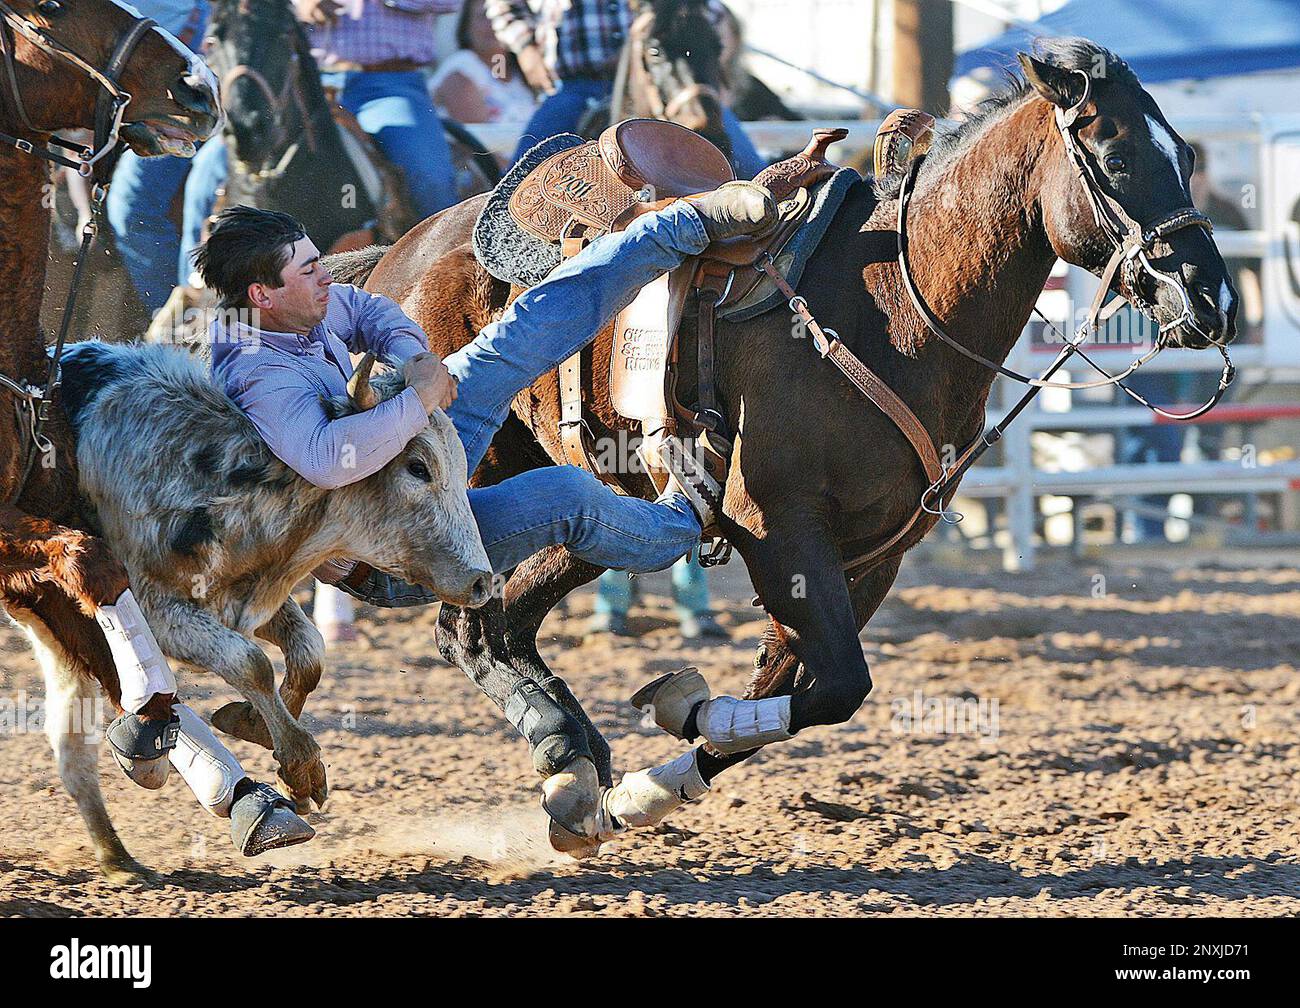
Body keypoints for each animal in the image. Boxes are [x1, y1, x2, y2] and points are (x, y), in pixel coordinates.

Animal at [276, 38, 1237, 854]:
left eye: (1186, 155)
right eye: (1118, 155)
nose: (1214, 299)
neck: (898, 303)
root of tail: (397, 252)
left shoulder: (870, 555)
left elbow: (797, 686)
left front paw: (655, 775)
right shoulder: (781, 530)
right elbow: (836, 685)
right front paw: (679, 728)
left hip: (584, 498)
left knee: (492, 625)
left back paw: (574, 765)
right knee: (466, 620)